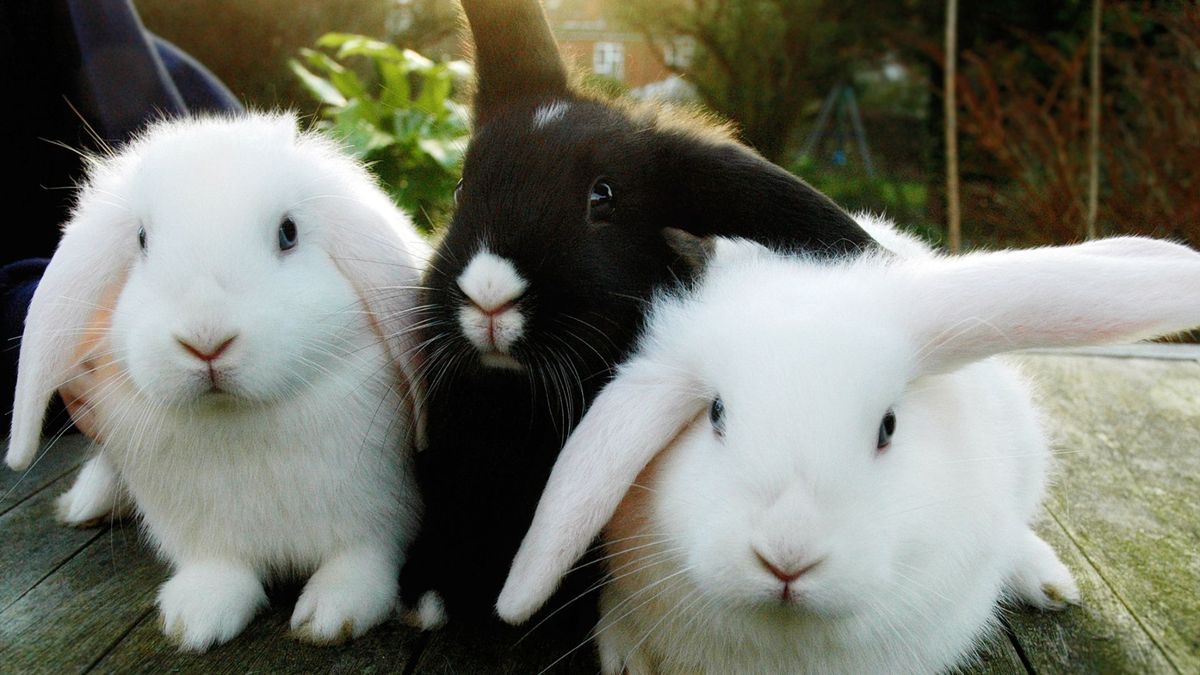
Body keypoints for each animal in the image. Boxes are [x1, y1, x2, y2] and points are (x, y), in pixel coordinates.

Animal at [5, 112, 429, 651]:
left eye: (288, 232)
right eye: (141, 239)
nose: (205, 340)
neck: (238, 422)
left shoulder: (377, 515)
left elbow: (361, 558)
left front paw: (332, 616)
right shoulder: (202, 534)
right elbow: (219, 570)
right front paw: (194, 620)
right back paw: (85, 504)